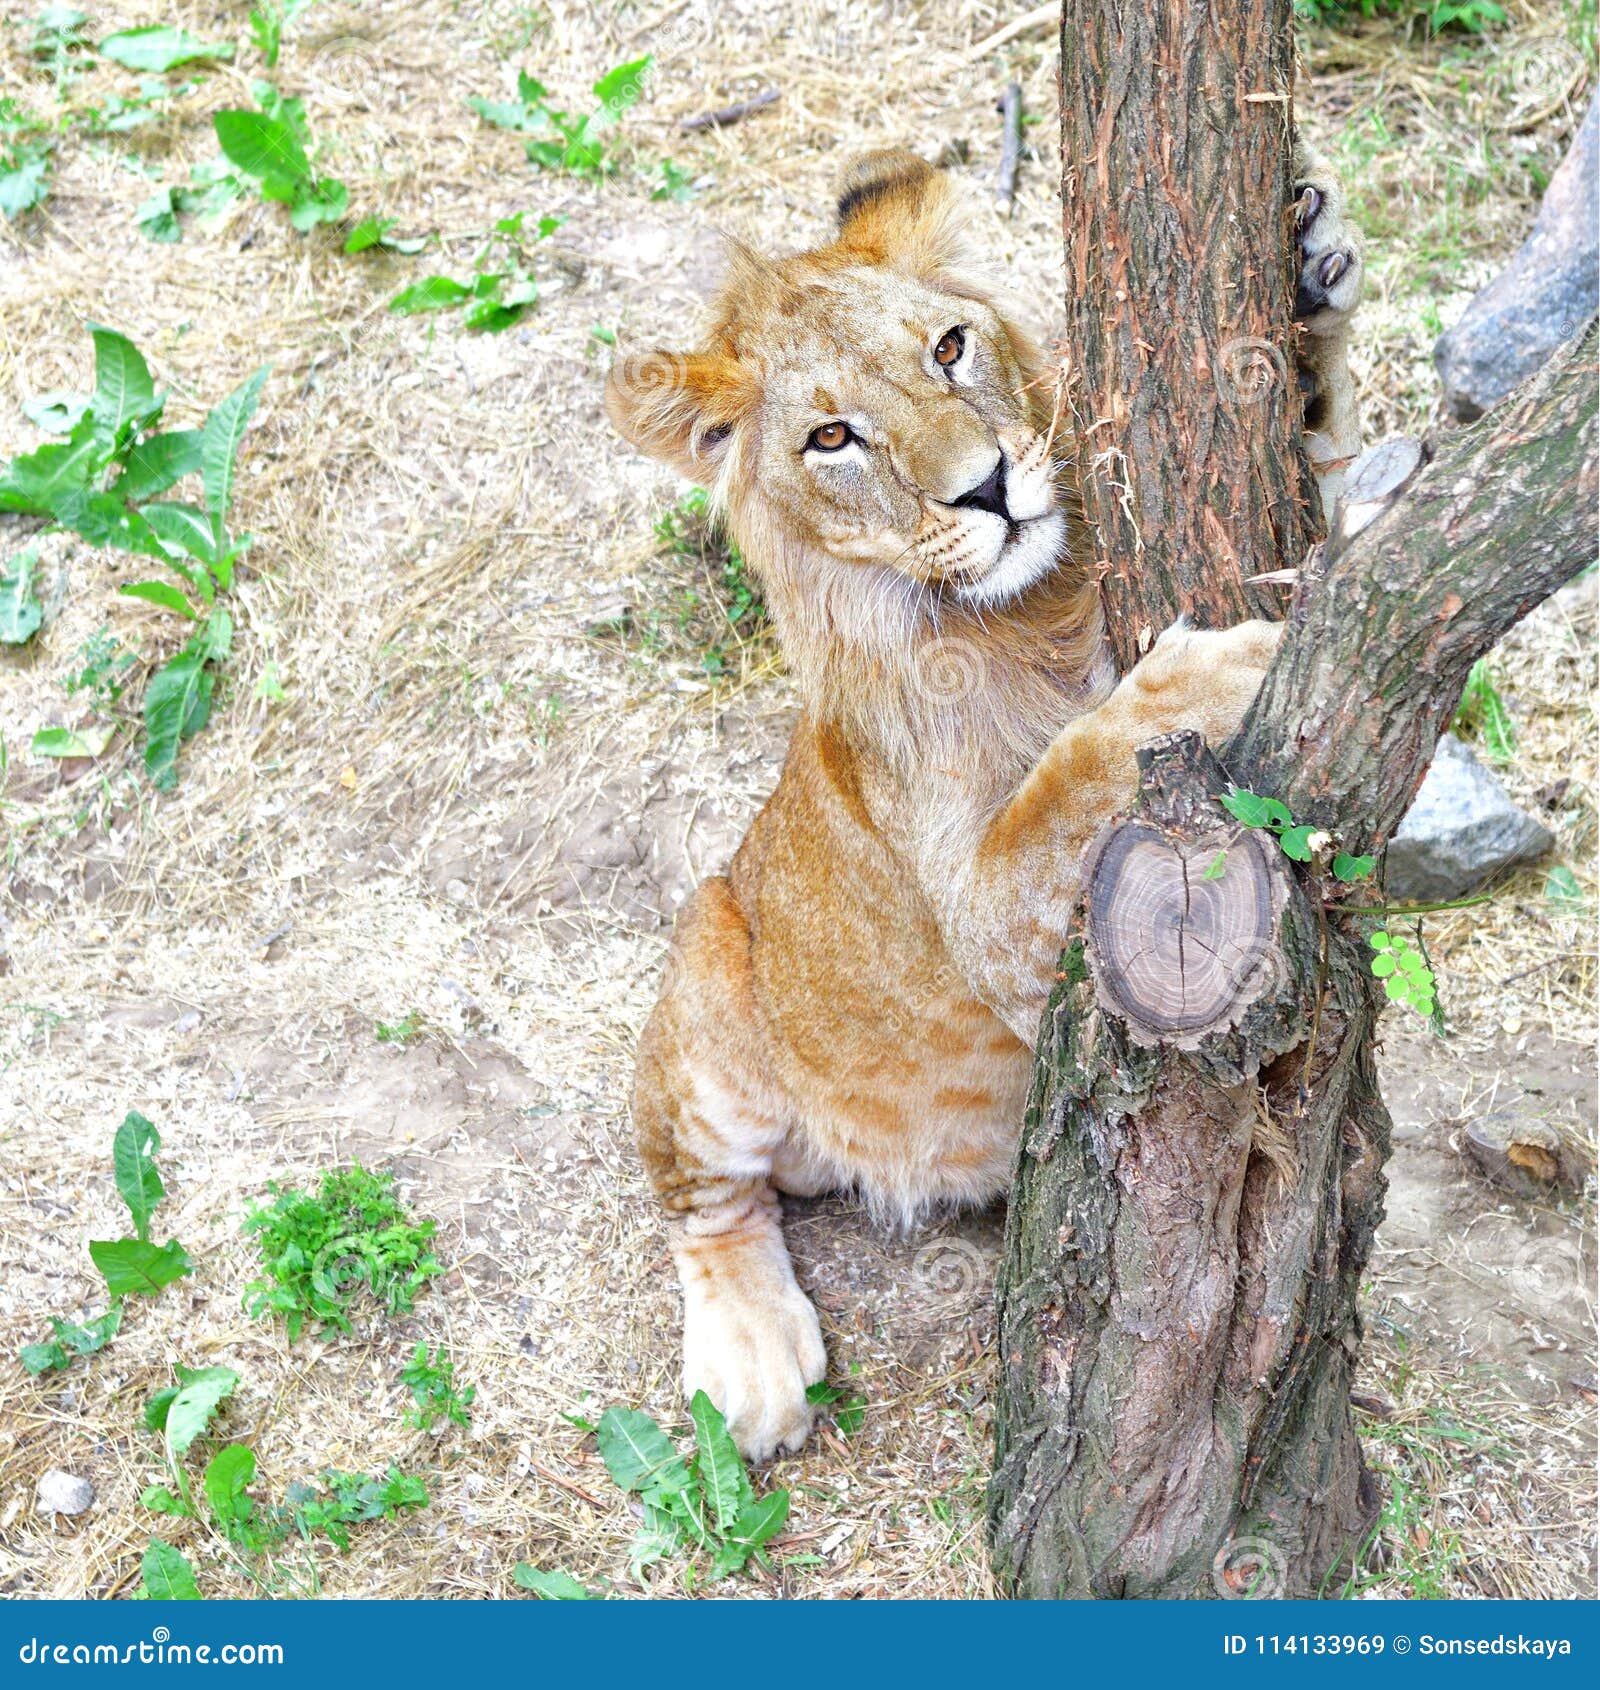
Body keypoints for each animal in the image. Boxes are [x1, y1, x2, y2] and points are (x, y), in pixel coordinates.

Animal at [605, 145, 1364, 1459]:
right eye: (832, 437)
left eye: (949, 348)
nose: (989, 489)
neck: (1029, 611)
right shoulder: (994, 921)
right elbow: (1074, 767)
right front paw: (1226, 664)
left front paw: (1303, 276)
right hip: (708, 963)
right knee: (704, 1199)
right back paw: (754, 1368)